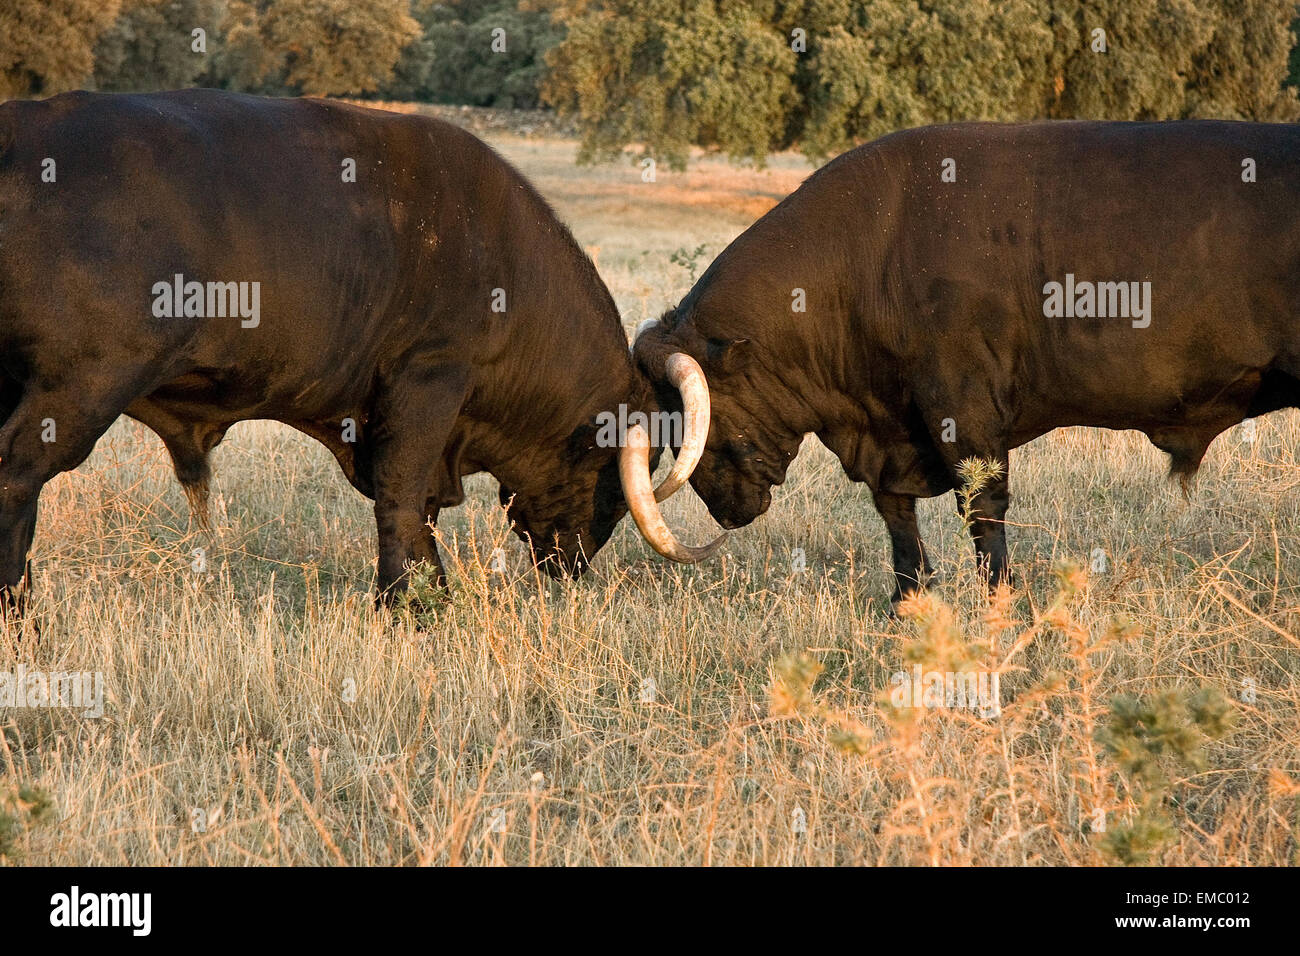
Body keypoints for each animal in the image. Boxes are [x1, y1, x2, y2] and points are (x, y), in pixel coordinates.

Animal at [0, 89, 717, 620]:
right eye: (640, 462)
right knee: (17, 475)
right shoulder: (429, 378)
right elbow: (401, 496)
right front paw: (410, 607)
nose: (576, 561)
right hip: (81, 384)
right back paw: (21, 618)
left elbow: (417, 507)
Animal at [627, 120, 1300, 604]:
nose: (723, 508)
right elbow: (896, 515)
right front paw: (908, 602)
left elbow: (982, 505)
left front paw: (999, 601)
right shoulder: (892, 432)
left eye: (691, 417)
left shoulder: (965, 404)